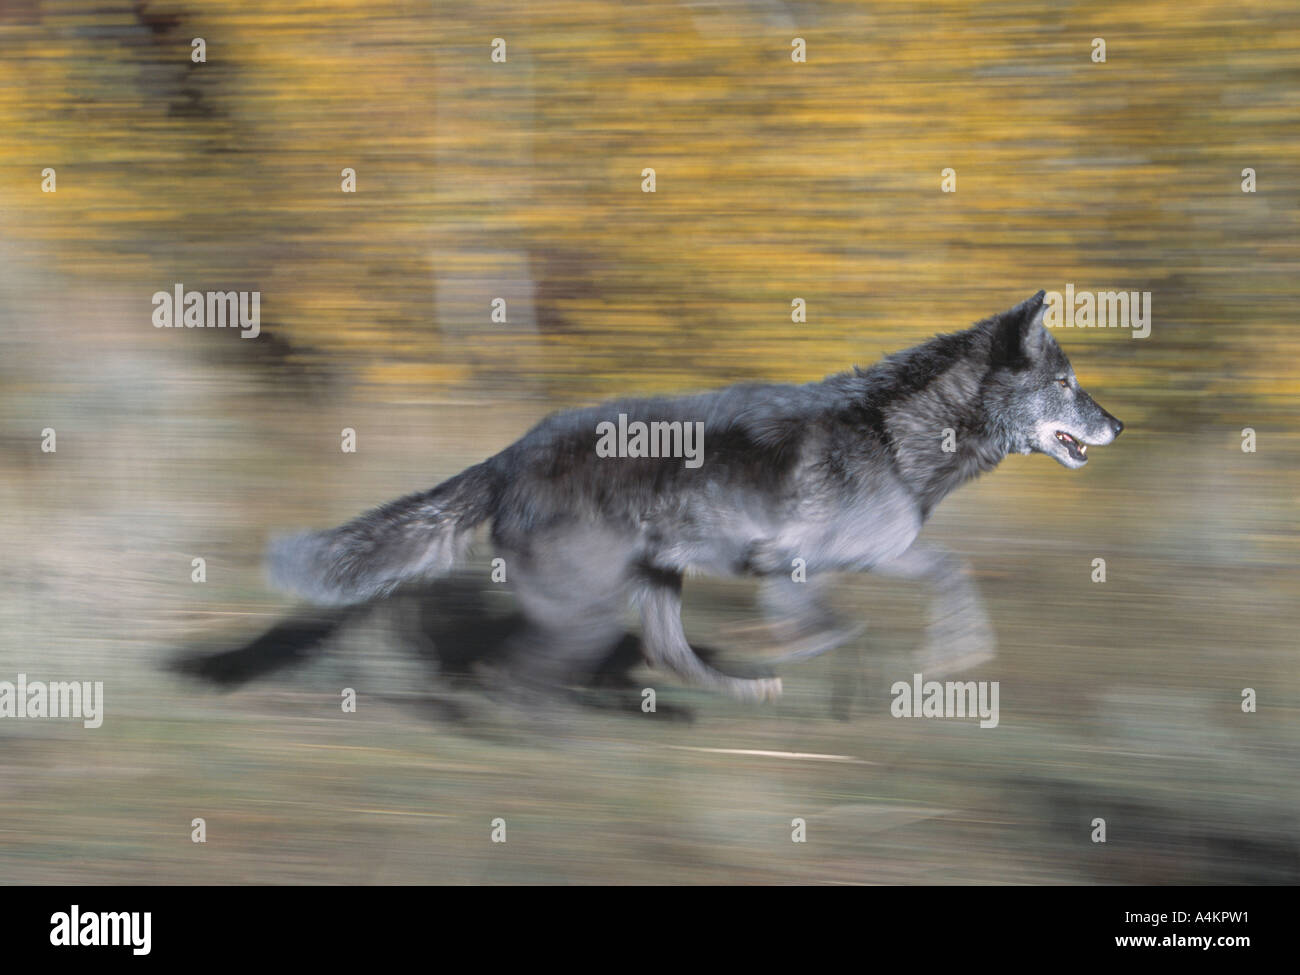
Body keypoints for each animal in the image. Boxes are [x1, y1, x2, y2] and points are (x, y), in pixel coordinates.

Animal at [267, 291, 1122, 701]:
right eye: (1069, 383)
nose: (1118, 423)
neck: (892, 432)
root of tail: (505, 455)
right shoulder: (800, 564)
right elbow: (856, 620)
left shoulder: (859, 558)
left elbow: (943, 574)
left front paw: (946, 653)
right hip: (589, 601)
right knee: (521, 671)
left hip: (653, 582)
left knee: (665, 653)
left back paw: (736, 691)